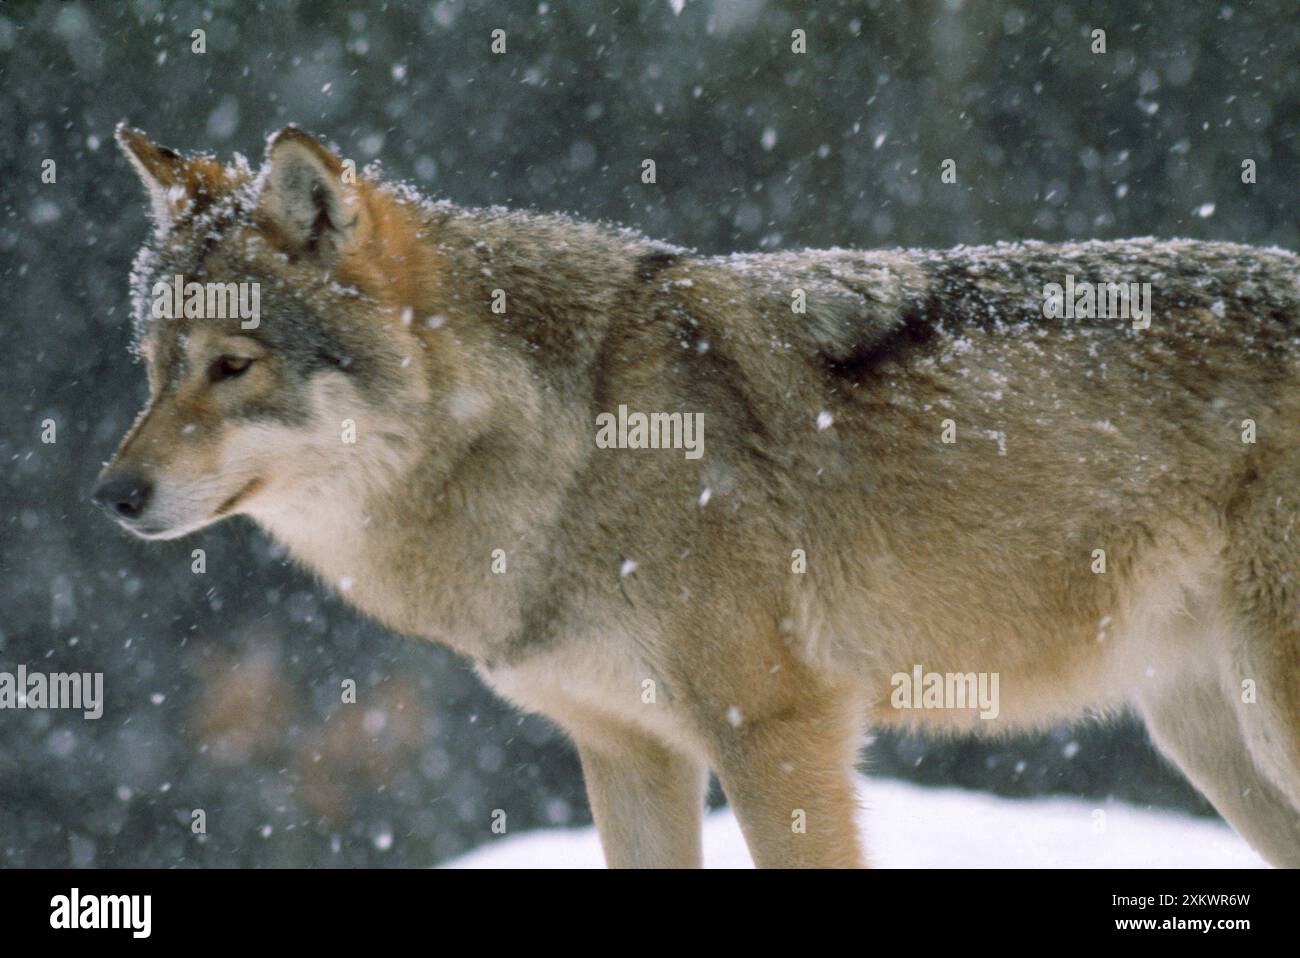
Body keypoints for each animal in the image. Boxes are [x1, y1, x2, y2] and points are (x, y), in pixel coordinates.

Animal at [95, 125, 1300, 868]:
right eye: (153, 368)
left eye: (233, 366)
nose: (111, 494)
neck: (570, 444)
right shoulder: (629, 752)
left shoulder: (775, 728)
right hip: (1208, 736)